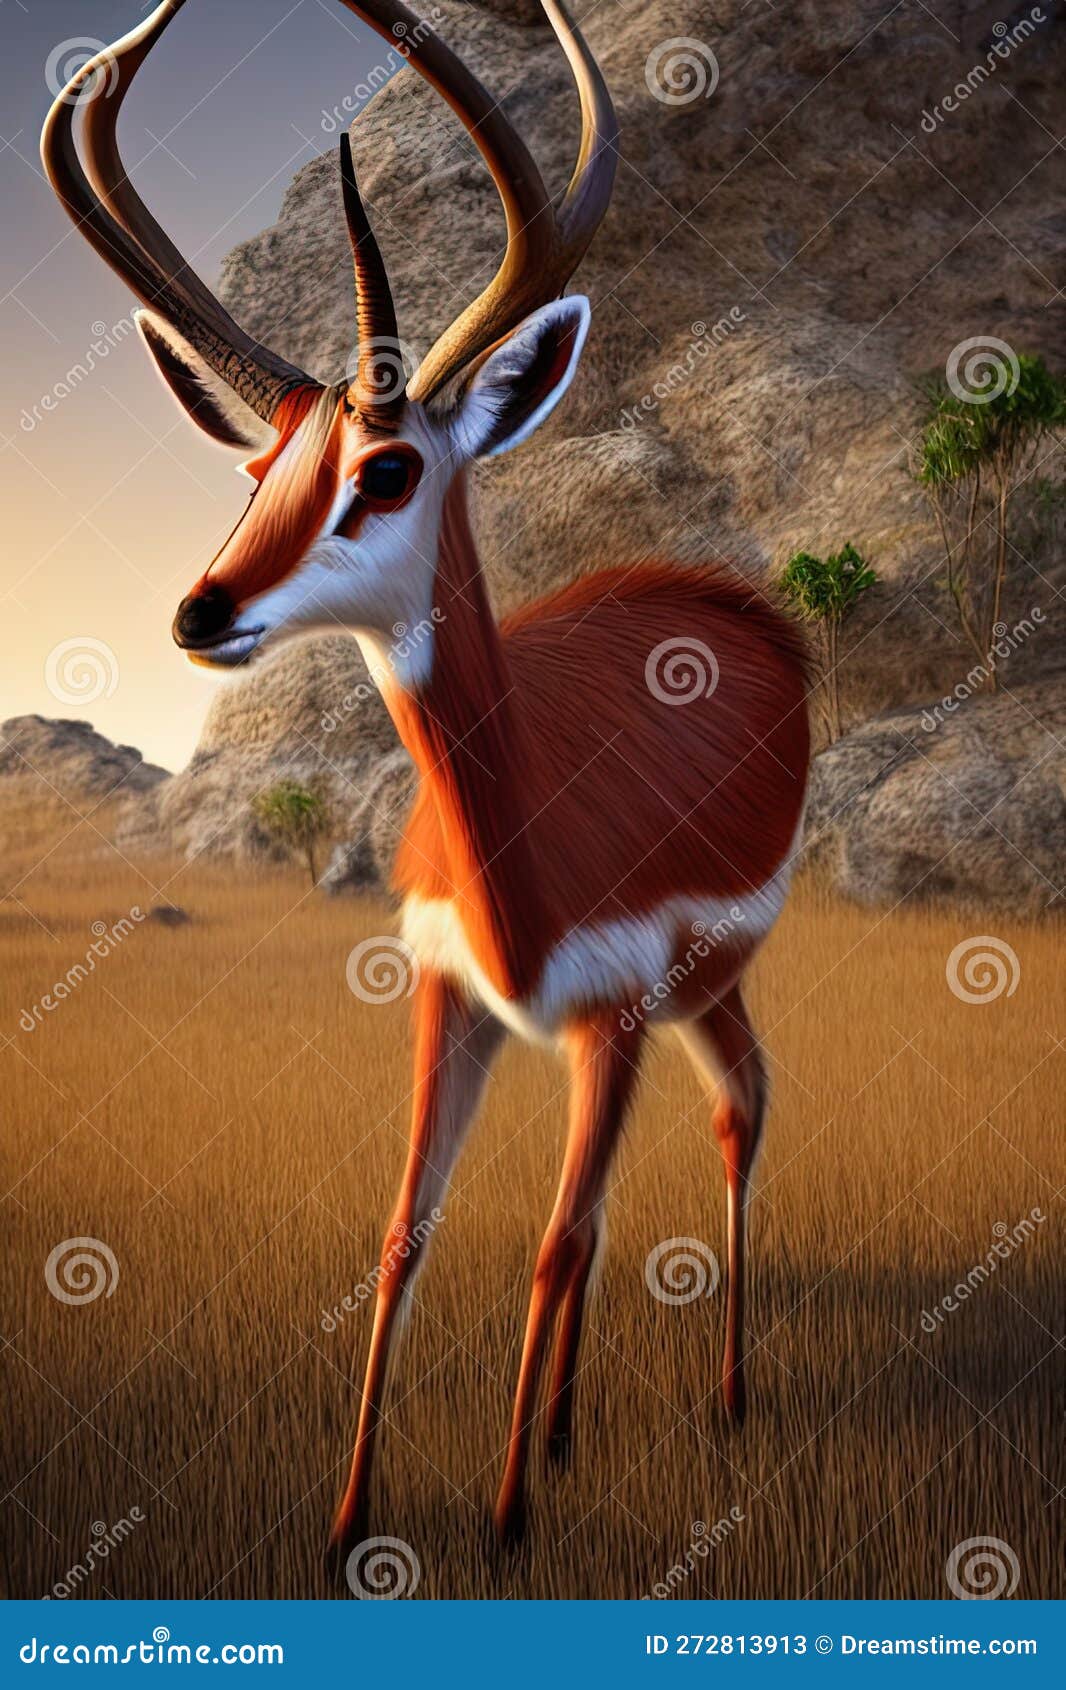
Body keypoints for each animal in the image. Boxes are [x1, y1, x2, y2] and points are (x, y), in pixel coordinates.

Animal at [44, 0, 810, 1554]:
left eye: (387, 467)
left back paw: (721, 1400)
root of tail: (733, 607)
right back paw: (574, 1424)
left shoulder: (606, 1021)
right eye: (261, 467)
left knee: (739, 1108)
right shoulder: (451, 997)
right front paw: (351, 1520)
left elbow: (551, 1241)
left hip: (696, 991)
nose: (201, 612)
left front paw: (507, 1519)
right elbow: (407, 1232)